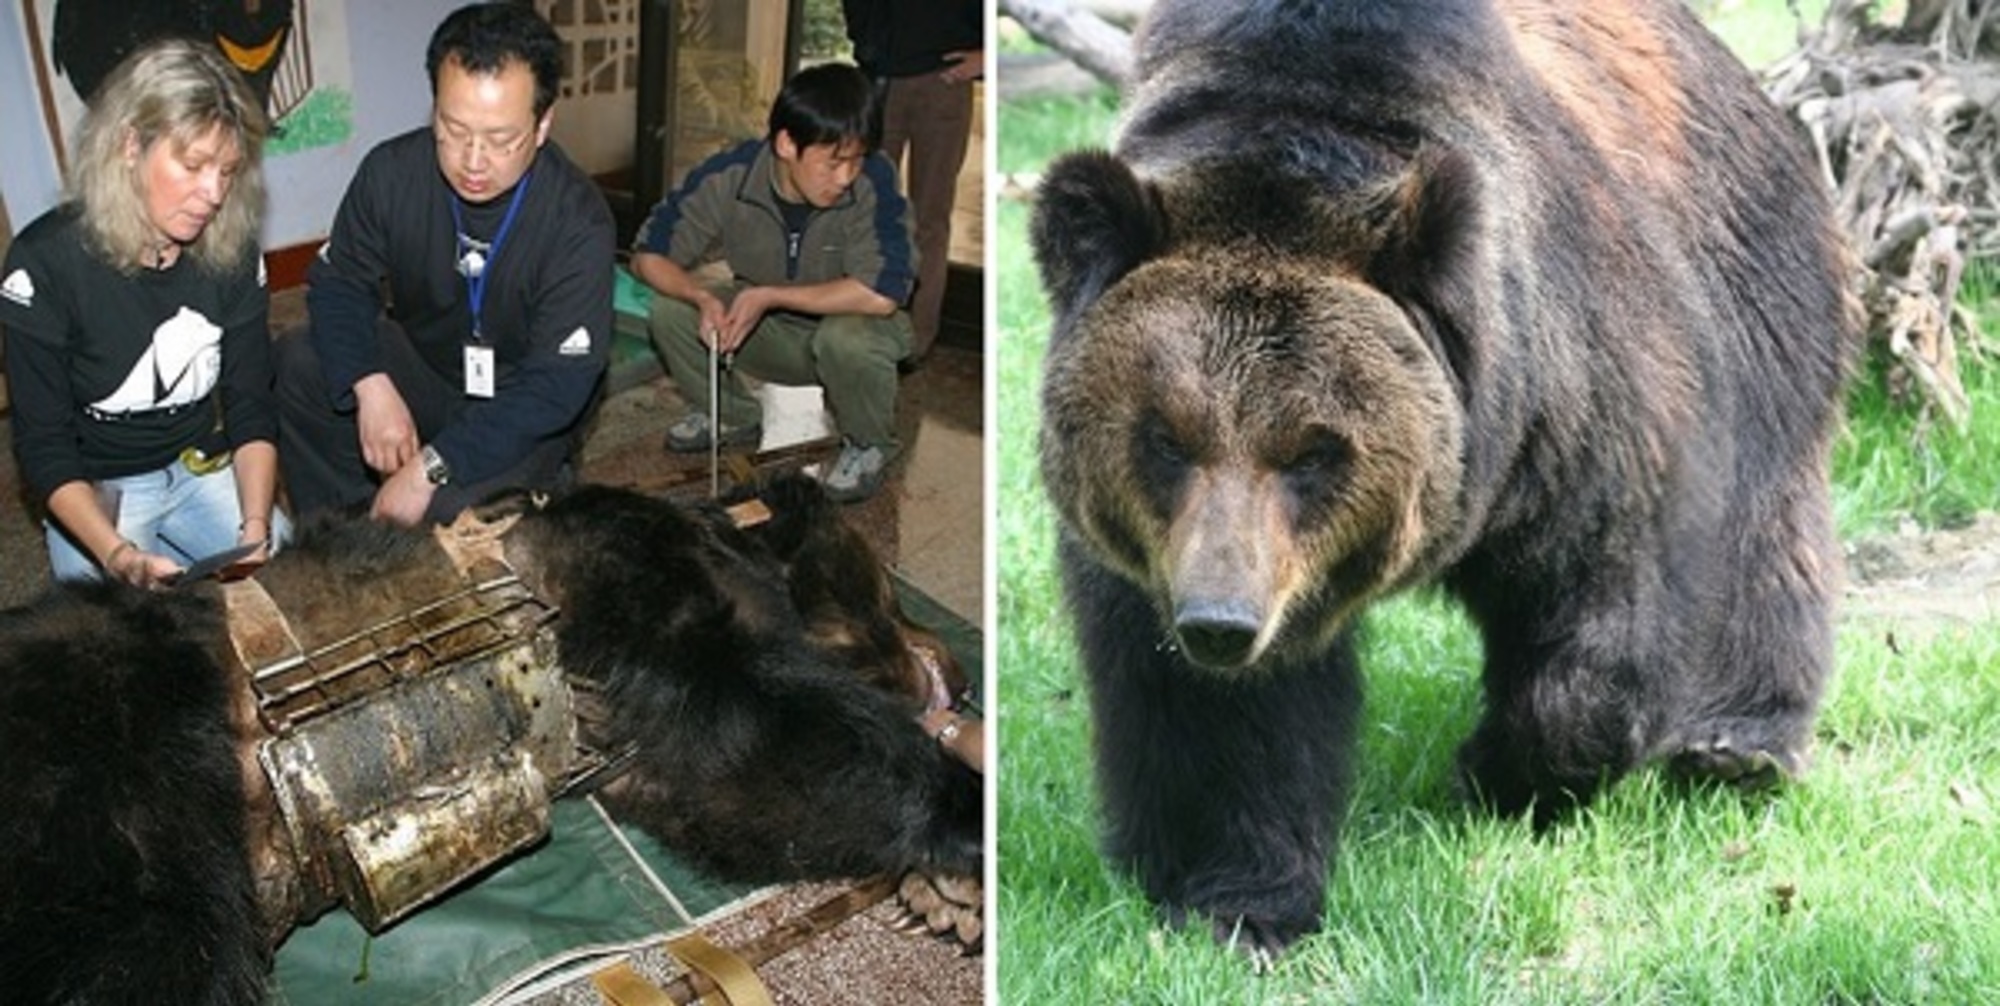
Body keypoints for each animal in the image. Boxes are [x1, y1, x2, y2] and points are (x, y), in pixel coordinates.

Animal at [0, 476, 980, 1004]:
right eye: (887, 592)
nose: (960, 672)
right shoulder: (630, 585)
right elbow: (768, 721)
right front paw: (961, 831)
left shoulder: (624, 727)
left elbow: (744, 793)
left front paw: (941, 896)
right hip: (125, 821)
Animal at [1030, 0, 1857, 960]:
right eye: (1166, 437)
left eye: (1314, 449)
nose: (1221, 623)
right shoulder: (1157, 552)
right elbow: (1212, 716)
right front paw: (1233, 899)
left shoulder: (1570, 401)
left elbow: (1607, 611)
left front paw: (1499, 772)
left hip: (1757, 291)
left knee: (1766, 530)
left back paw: (1737, 745)